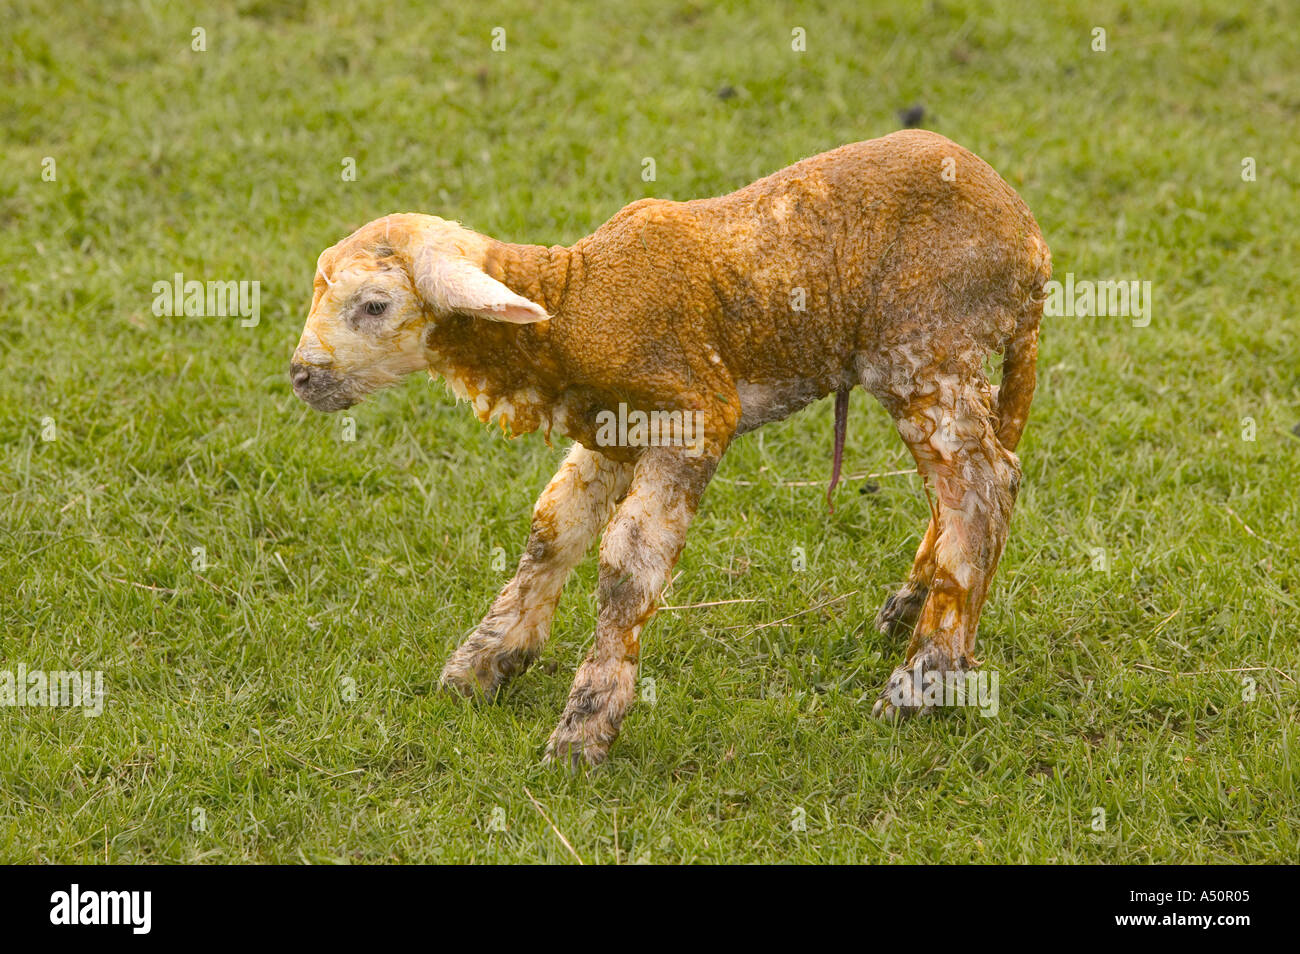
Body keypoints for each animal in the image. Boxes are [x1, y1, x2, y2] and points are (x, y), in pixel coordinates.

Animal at [290, 129, 1051, 767]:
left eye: (374, 305)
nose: (301, 375)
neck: (570, 305)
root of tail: (1030, 241)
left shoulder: (695, 418)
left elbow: (627, 566)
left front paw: (584, 729)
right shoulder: (610, 434)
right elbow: (551, 531)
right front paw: (485, 663)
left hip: (925, 347)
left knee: (984, 487)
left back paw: (923, 682)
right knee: (963, 485)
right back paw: (910, 611)